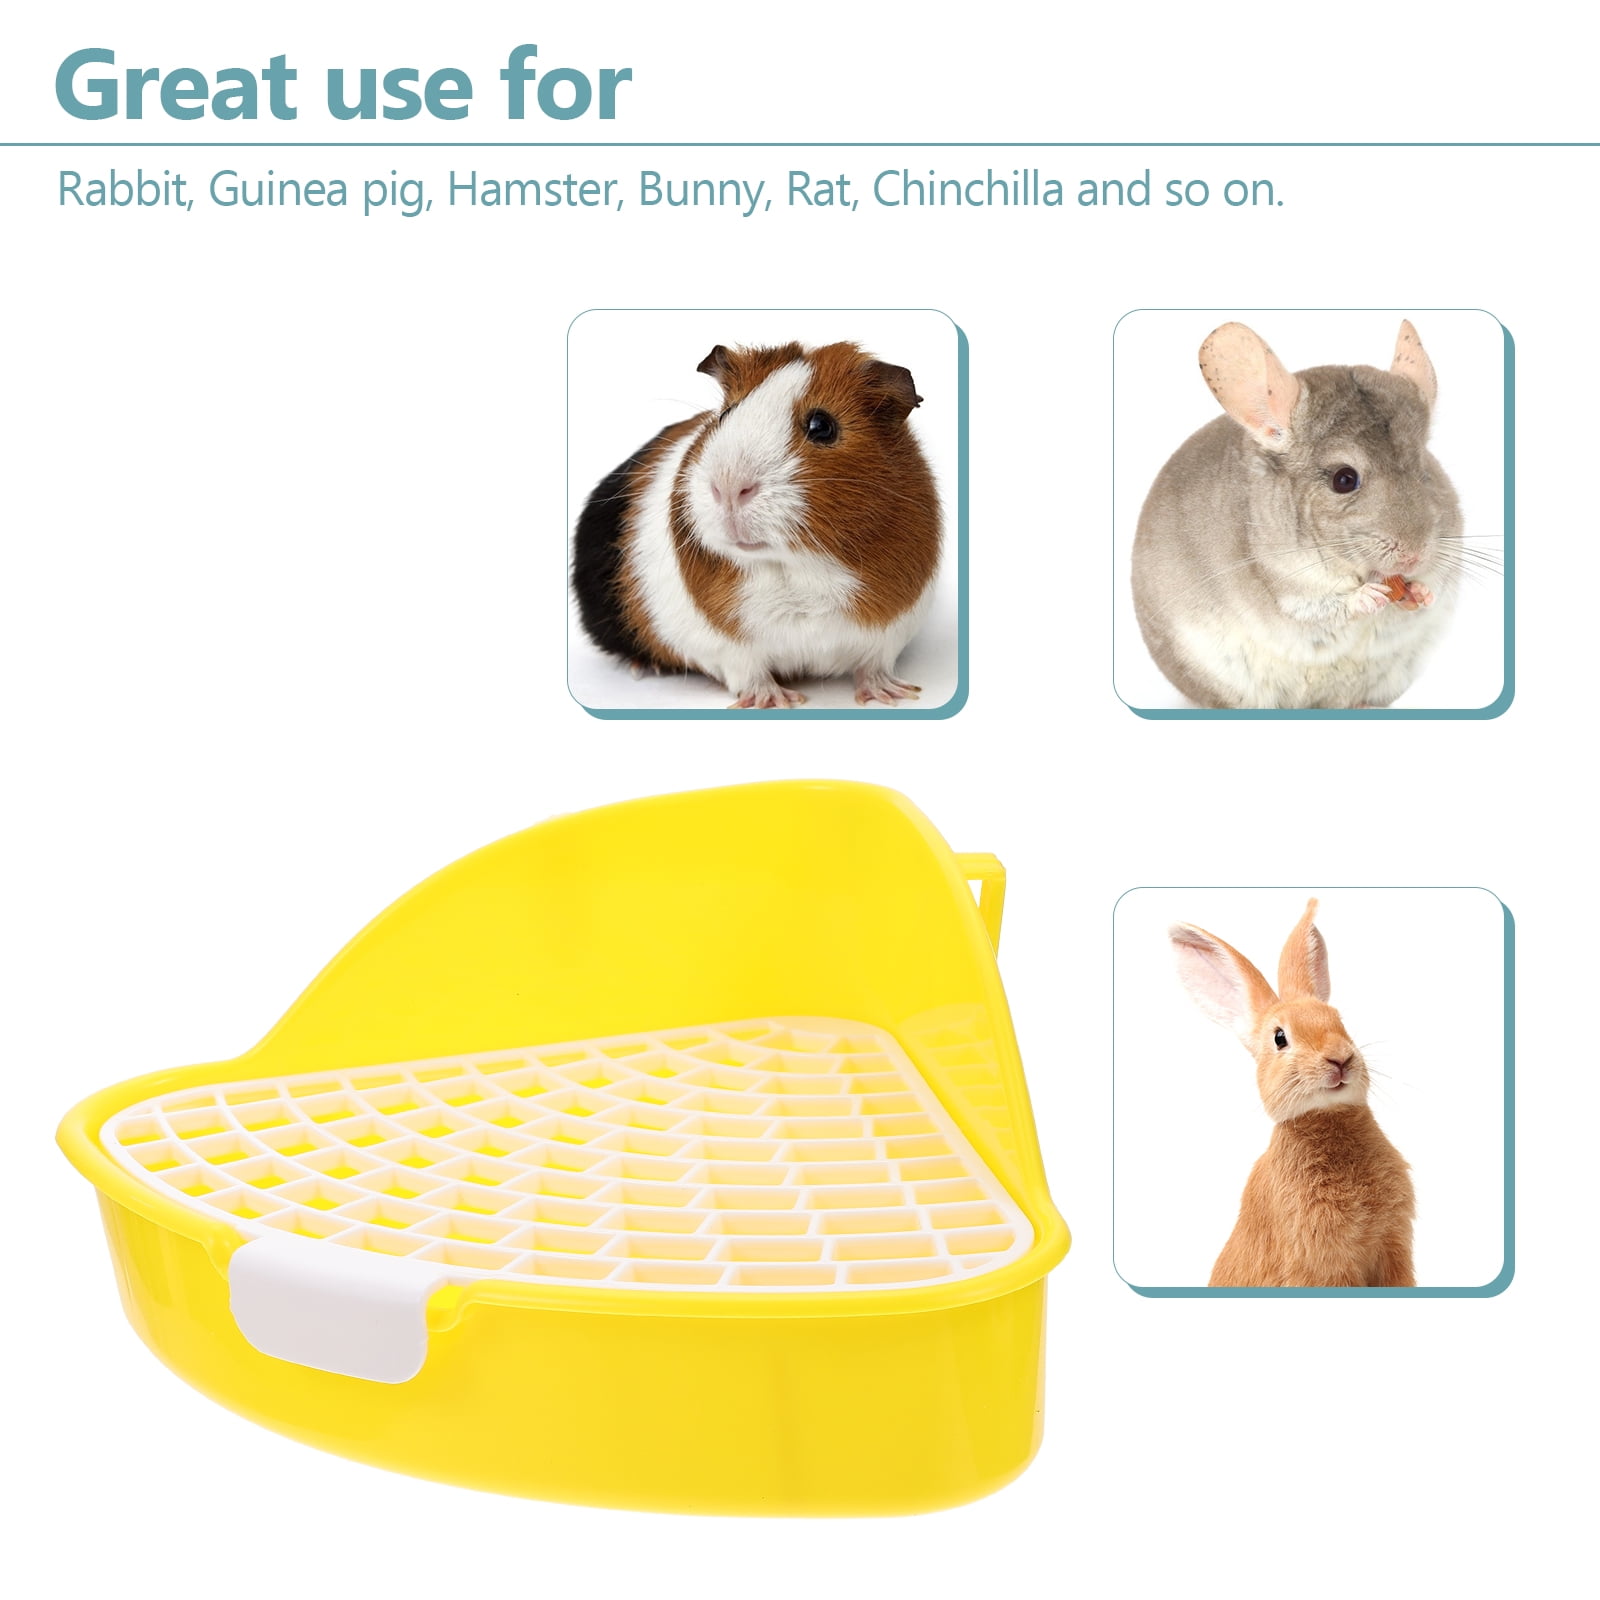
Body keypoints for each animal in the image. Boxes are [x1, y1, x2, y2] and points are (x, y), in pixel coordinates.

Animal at [572, 340, 941, 708]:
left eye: (822, 426)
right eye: (726, 414)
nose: (729, 487)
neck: (795, 569)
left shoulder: (891, 631)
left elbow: (874, 665)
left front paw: (892, 695)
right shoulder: (726, 649)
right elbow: (750, 674)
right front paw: (778, 701)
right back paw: (643, 667)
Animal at [1132, 320, 1462, 708]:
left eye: (1424, 469)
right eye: (1344, 479)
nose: (1413, 556)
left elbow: (1430, 590)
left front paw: (1423, 591)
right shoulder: (1285, 586)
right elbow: (1321, 609)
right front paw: (1367, 597)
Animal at [1169, 898, 1415, 1288]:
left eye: (1338, 1021)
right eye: (1279, 1038)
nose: (1339, 1058)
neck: (1330, 1118)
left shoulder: (1394, 1248)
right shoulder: (1322, 1263)